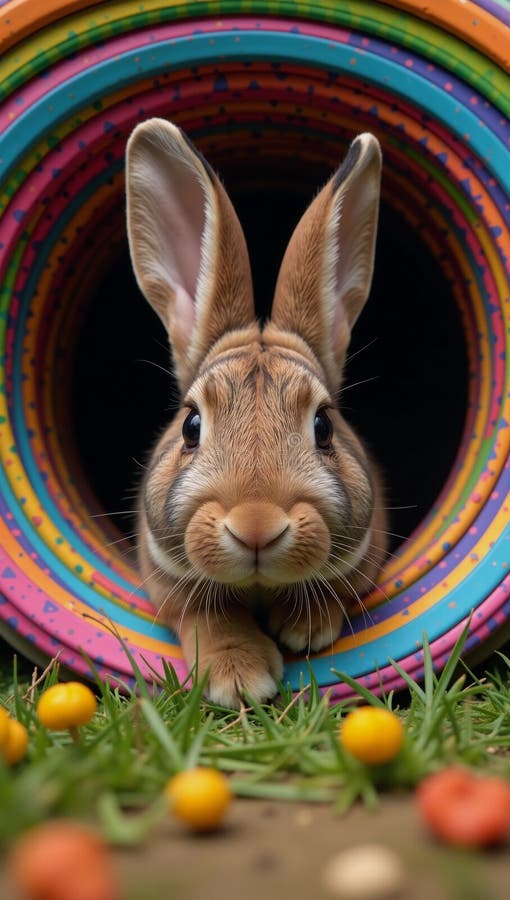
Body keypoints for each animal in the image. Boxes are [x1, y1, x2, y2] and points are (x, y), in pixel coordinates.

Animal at [125, 118, 388, 708]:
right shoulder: (165, 577)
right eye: (191, 425)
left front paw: (305, 628)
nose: (256, 527)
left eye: (324, 426)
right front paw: (240, 676)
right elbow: (203, 612)